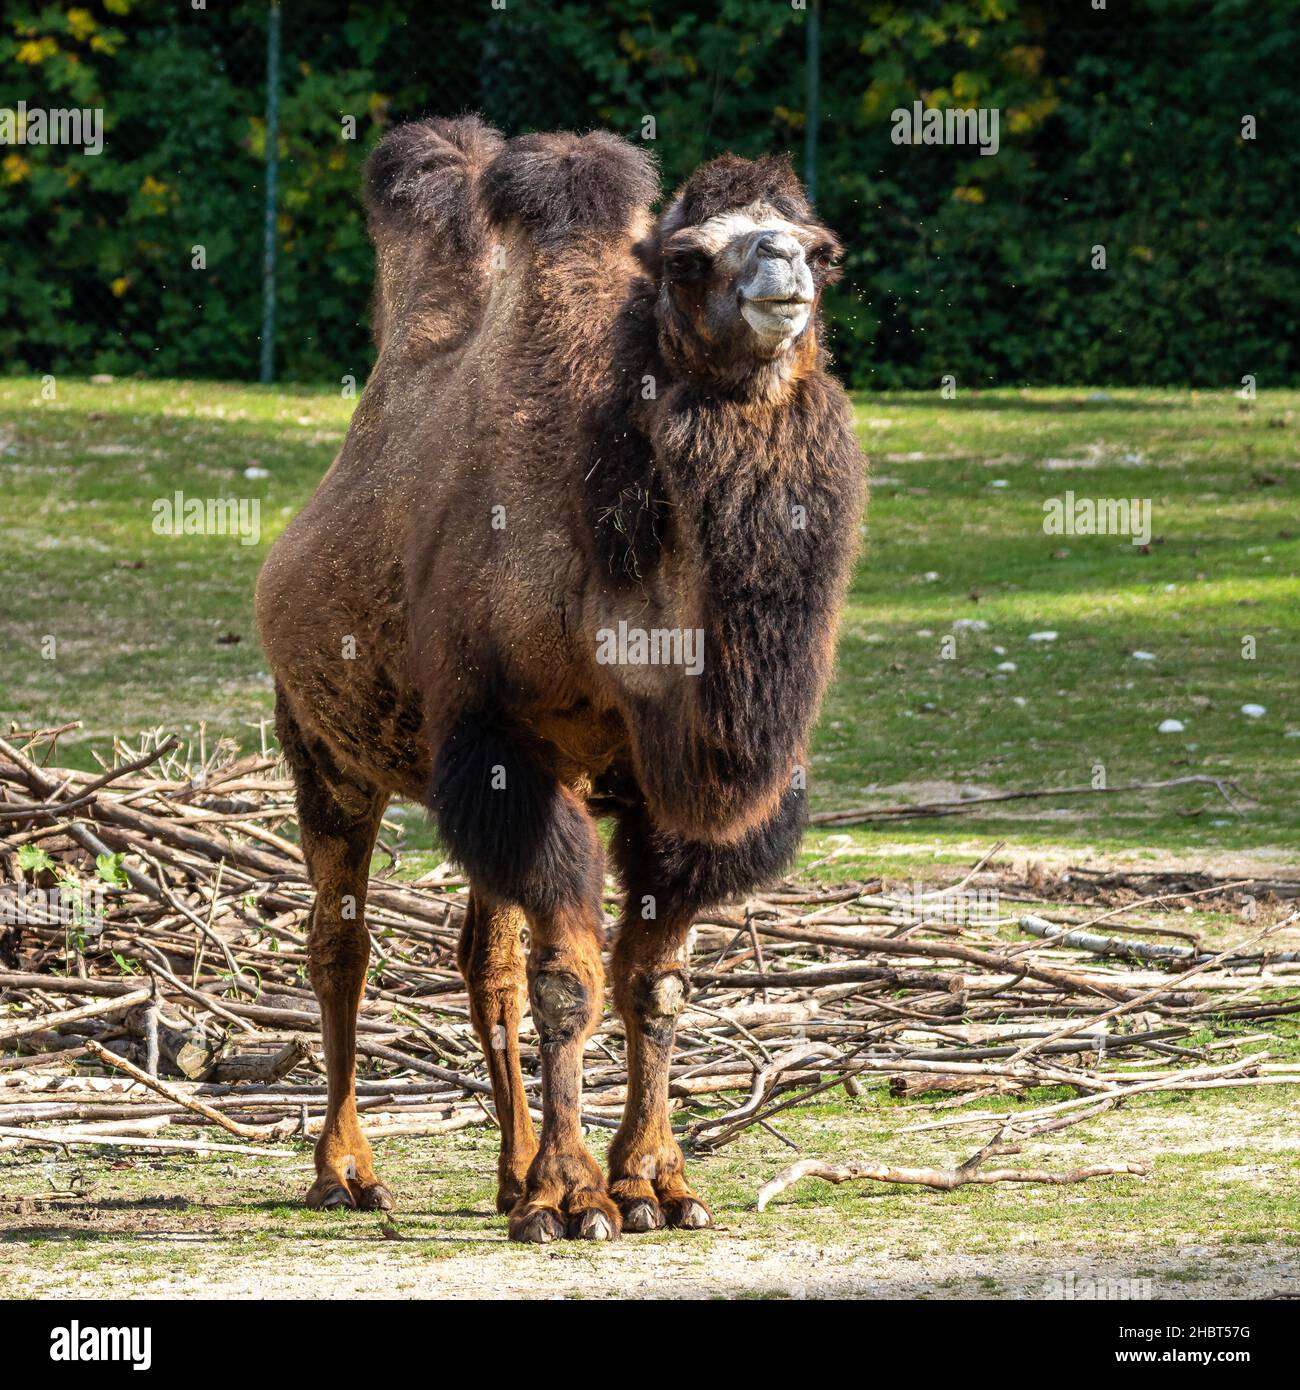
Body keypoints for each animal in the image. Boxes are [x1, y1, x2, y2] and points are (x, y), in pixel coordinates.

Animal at [255, 117, 865, 1242]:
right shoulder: (506, 743)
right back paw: (348, 1170)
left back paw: (504, 1170)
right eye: (687, 258)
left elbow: (653, 982)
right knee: (339, 941)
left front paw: (655, 1183)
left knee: (482, 959)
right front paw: (573, 1197)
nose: (782, 271)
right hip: (325, 751)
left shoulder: (657, 794)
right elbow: (571, 982)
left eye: (821, 246)